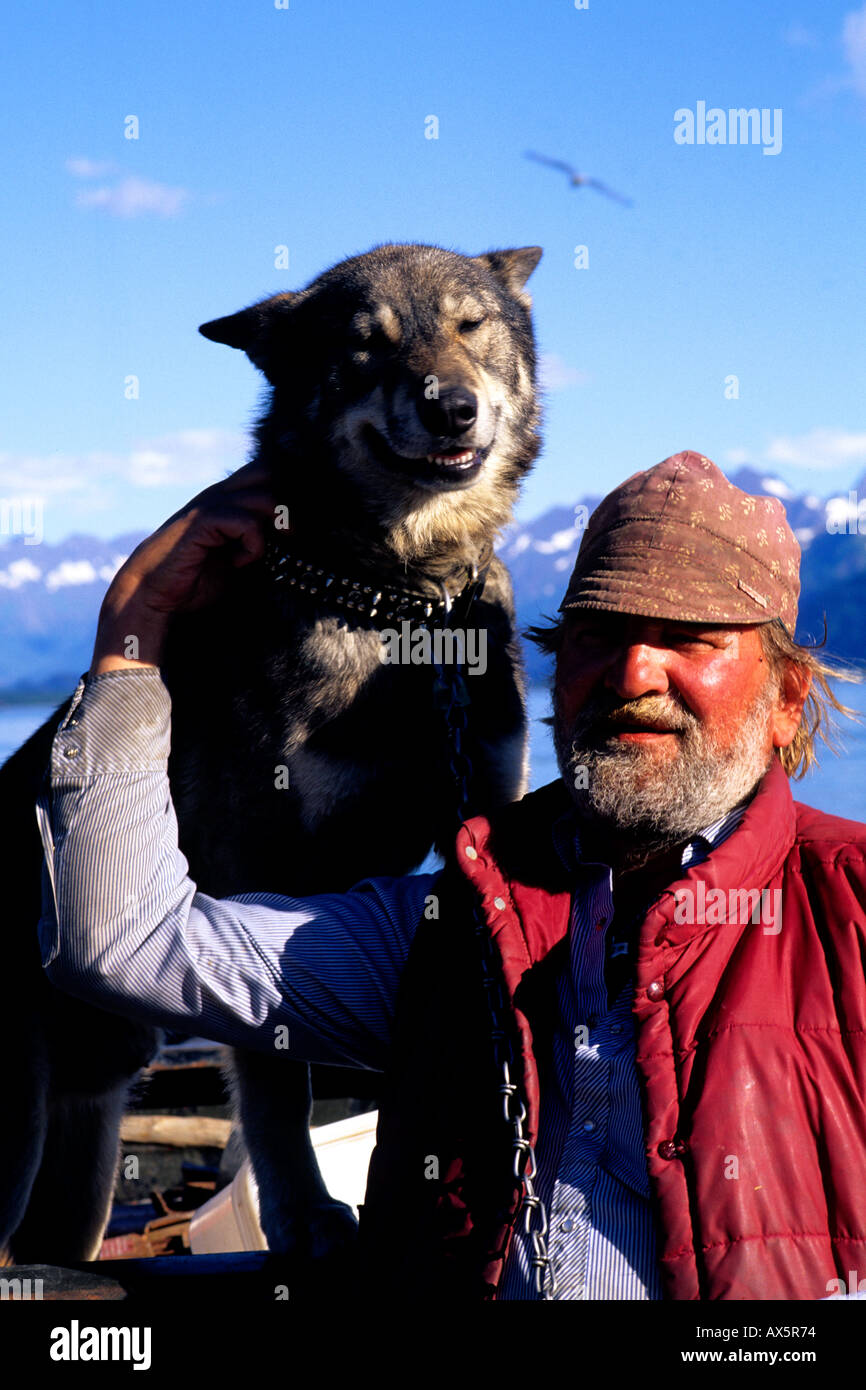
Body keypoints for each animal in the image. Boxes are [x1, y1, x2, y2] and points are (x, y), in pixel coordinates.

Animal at [0, 242, 543, 1265]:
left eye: (471, 326)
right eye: (367, 347)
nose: (453, 406)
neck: (399, 606)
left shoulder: (485, 811)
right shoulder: (258, 871)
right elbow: (277, 1080)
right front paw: (300, 1212)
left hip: (82, 1147)